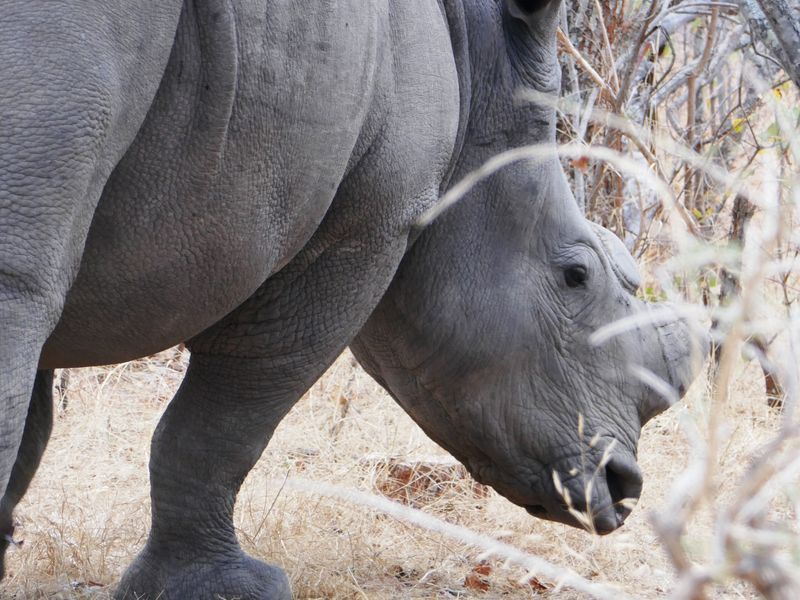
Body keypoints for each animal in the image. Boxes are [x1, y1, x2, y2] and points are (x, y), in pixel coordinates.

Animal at [0, 0, 704, 597]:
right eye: (574, 276)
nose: (623, 488)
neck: (477, 67)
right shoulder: (364, 230)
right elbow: (224, 422)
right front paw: (226, 589)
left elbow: (37, 423)